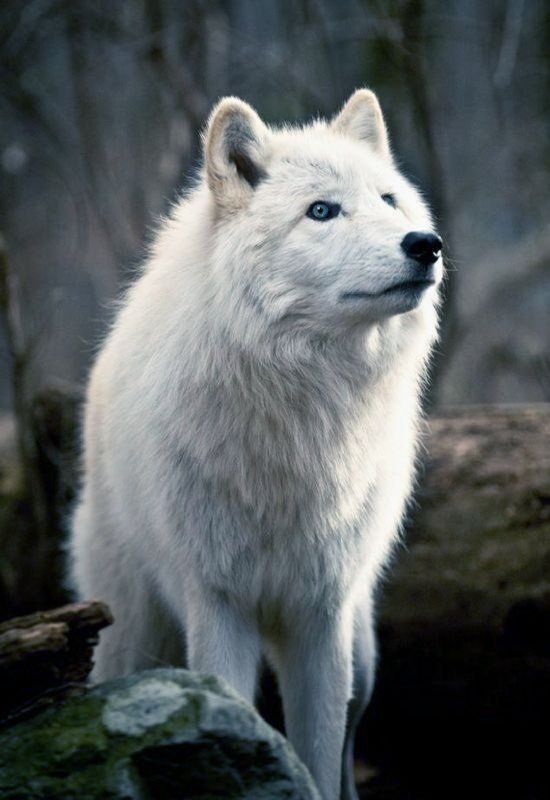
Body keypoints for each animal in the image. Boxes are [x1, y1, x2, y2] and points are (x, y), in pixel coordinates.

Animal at [69, 88, 443, 800]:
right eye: (321, 211)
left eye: (389, 201)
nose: (426, 244)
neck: (300, 415)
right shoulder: (217, 604)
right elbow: (236, 710)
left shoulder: (321, 615)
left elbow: (320, 754)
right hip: (131, 630)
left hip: (363, 656)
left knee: (350, 740)